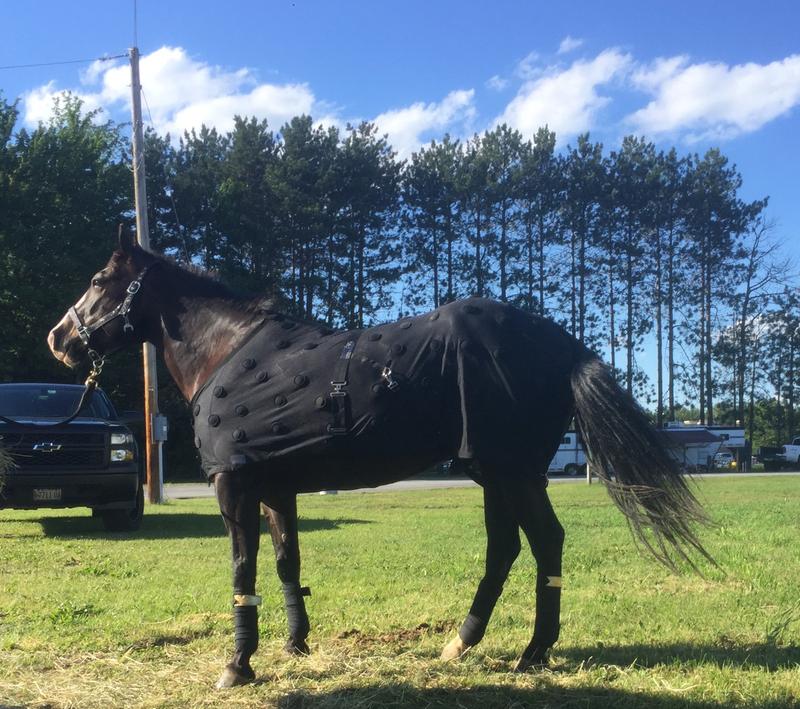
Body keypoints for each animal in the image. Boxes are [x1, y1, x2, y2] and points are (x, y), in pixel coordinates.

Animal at [47, 231, 712, 688]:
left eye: (101, 280)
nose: (59, 339)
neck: (228, 351)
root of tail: (564, 343)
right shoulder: (277, 488)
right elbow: (287, 562)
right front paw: (295, 645)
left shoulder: (235, 489)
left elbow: (243, 571)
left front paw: (238, 664)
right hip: (492, 472)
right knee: (505, 547)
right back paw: (461, 642)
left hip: (513, 471)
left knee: (545, 541)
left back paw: (534, 651)